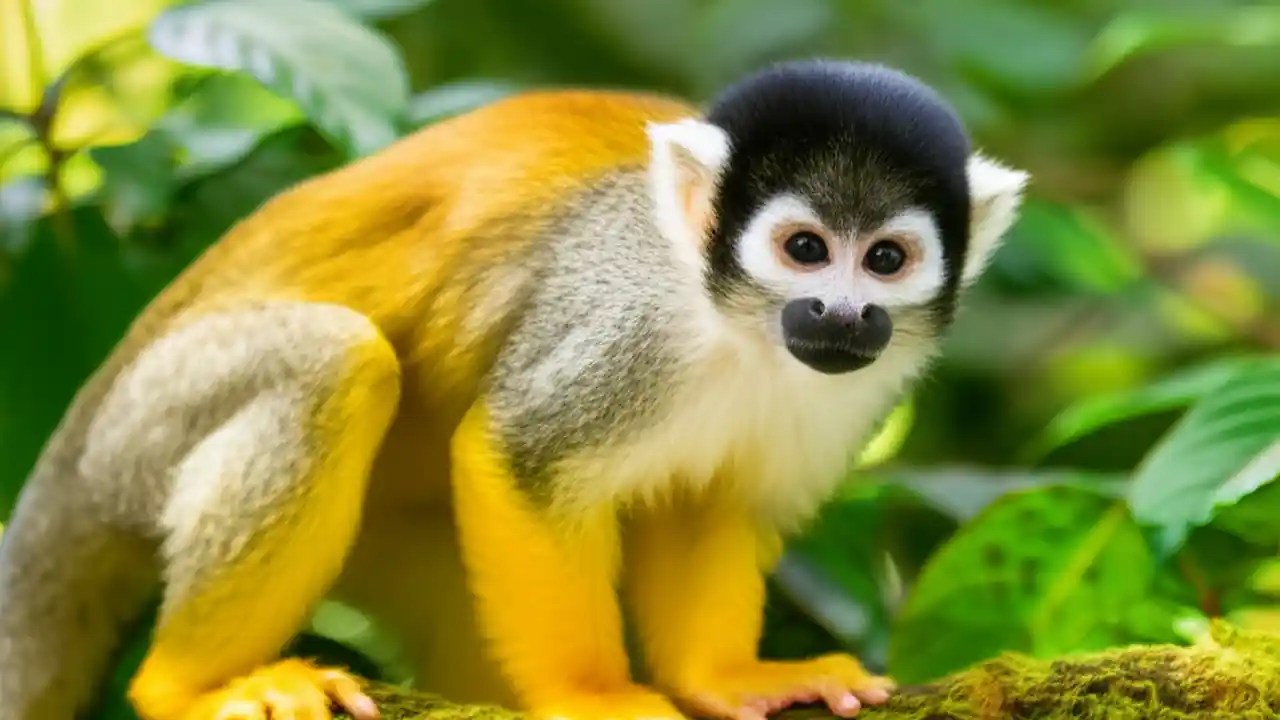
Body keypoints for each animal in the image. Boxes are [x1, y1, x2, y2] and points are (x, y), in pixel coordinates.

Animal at [0, 59, 1026, 720]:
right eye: (805, 248)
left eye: (886, 260)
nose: (840, 314)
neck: (735, 325)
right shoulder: (622, 317)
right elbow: (520, 458)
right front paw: (591, 697)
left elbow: (710, 501)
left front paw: (730, 677)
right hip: (145, 429)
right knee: (331, 362)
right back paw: (186, 688)